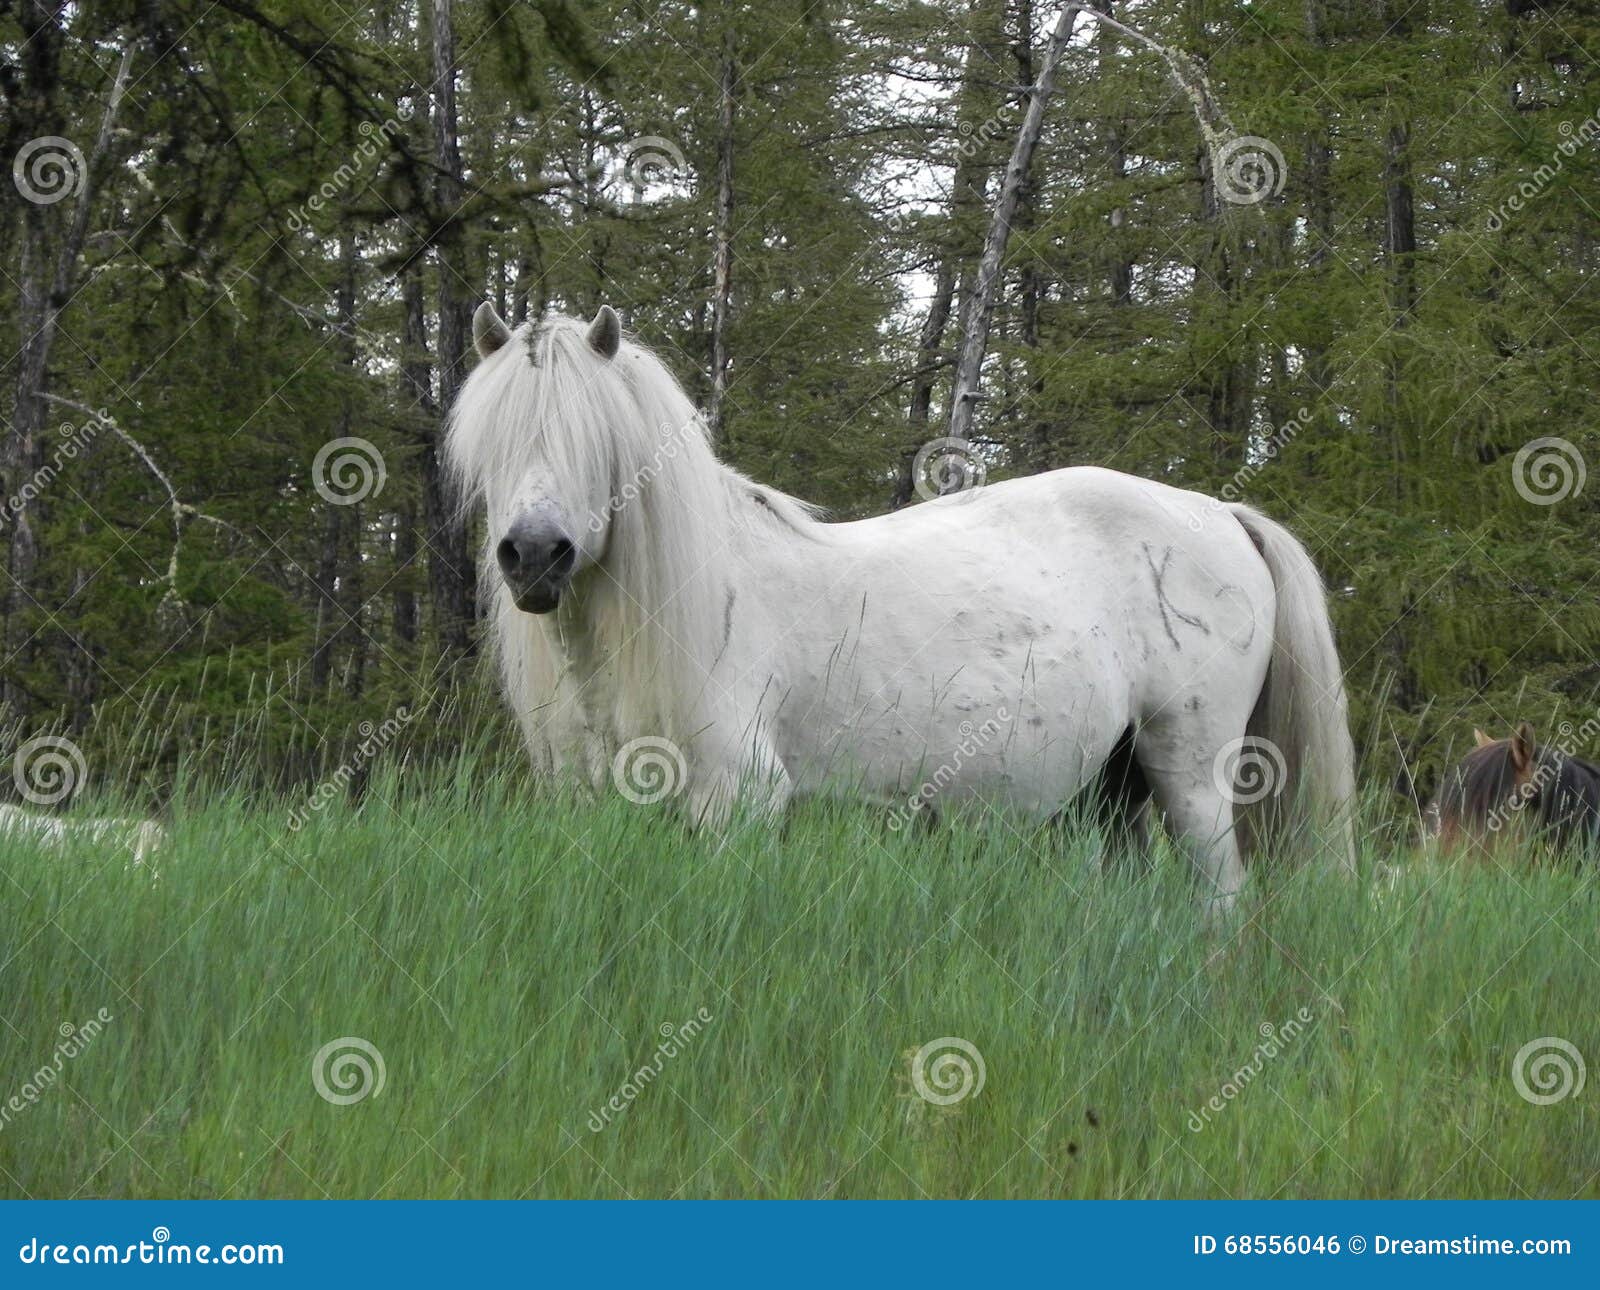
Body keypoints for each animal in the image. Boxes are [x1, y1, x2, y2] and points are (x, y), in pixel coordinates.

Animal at [446, 302, 1357, 913]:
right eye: (494, 440)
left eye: (598, 444)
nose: (534, 555)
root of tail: (1218, 512)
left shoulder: (734, 806)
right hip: (1113, 788)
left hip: (1191, 776)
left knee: (1221, 898)